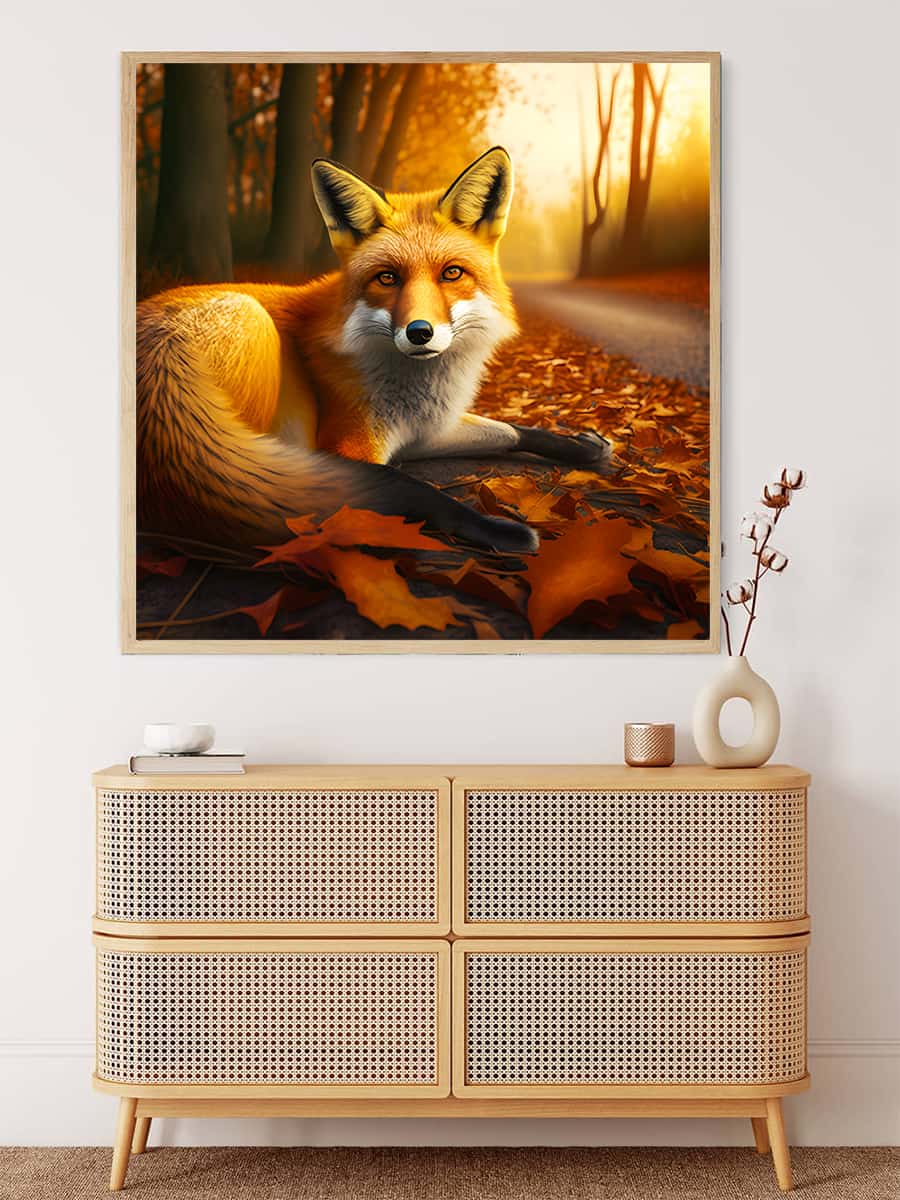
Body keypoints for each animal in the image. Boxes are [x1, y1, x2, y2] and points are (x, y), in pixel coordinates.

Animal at [137, 146, 608, 555]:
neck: (415, 391)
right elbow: (416, 488)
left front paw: (581, 446)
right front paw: (495, 528)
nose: (419, 333)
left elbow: (510, 432)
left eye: (451, 273)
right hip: (252, 329)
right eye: (387, 278)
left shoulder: (421, 432)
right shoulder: (348, 443)